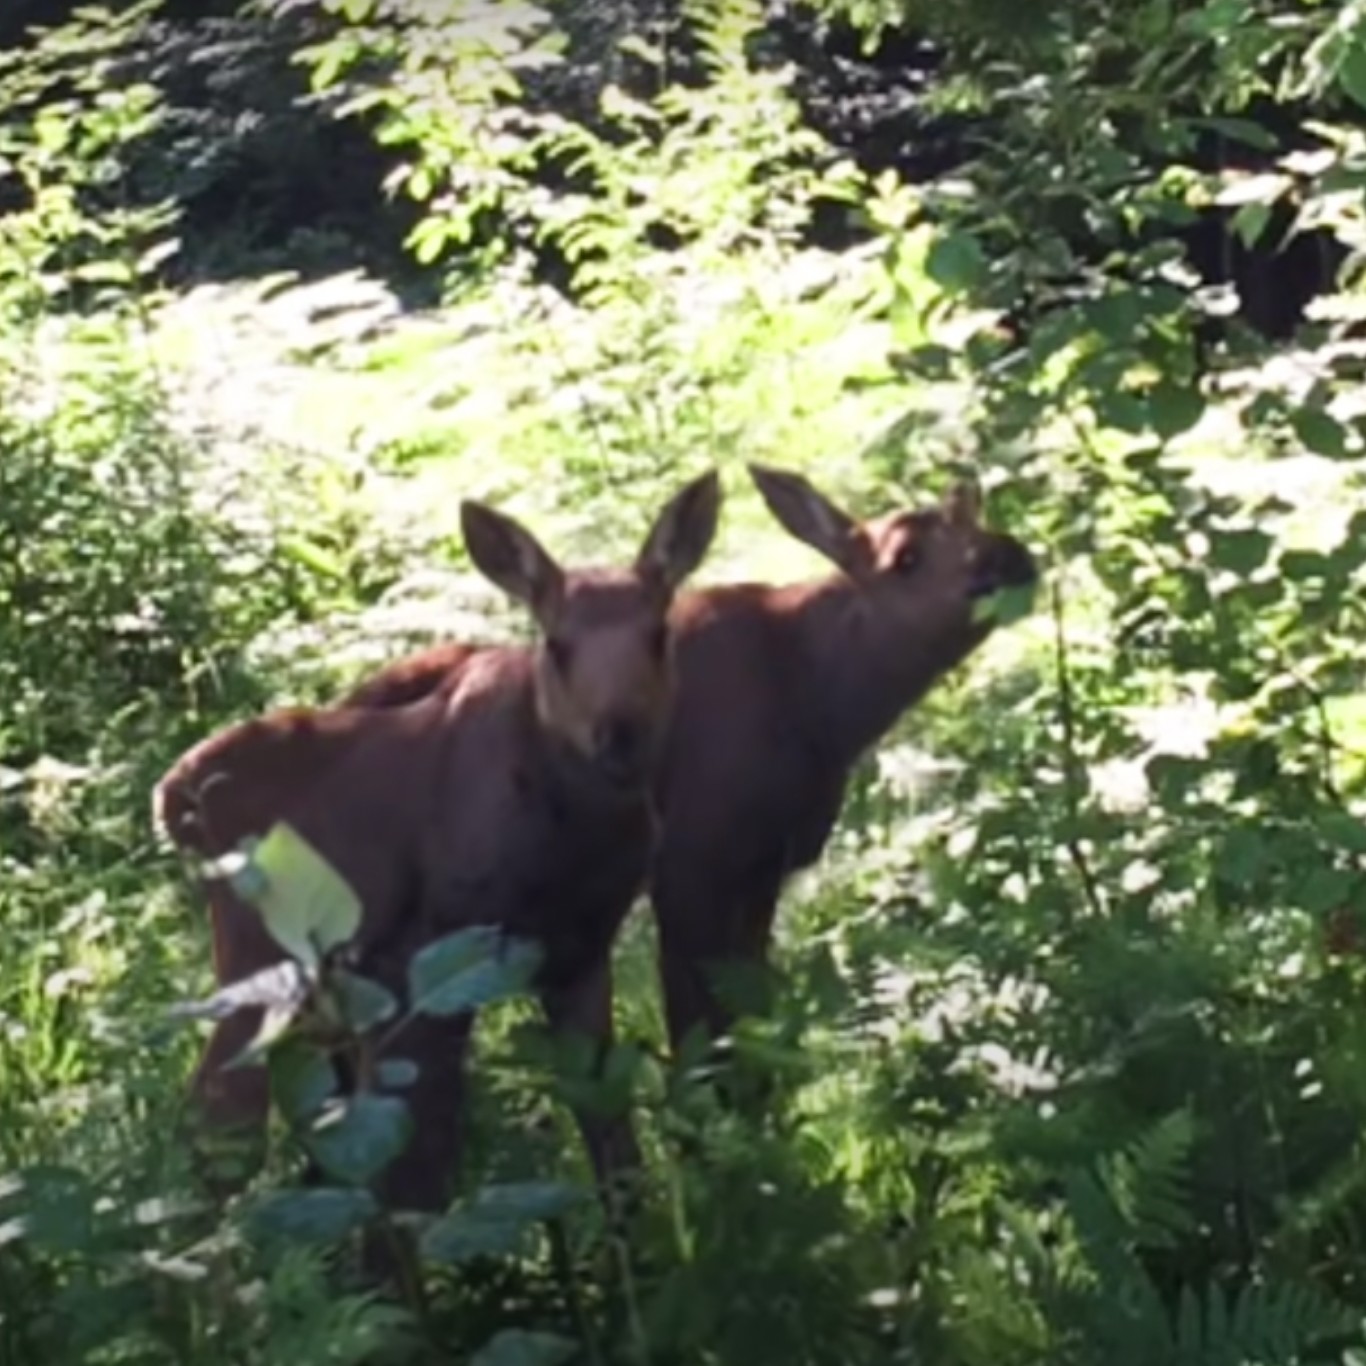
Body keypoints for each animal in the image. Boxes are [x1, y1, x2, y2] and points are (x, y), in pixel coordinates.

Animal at [153, 470, 722, 1214]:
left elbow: (606, 1127)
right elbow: (418, 1161)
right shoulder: (423, 958)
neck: (571, 843)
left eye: (658, 634)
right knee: (218, 1125)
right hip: (266, 972)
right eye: (556, 643)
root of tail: (170, 800)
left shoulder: (580, 954)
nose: (618, 737)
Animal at [331, 464, 1039, 1054]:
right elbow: (699, 1037)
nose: (1011, 554)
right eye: (905, 558)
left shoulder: (763, 867)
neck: (823, 705)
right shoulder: (693, 859)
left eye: (973, 522)